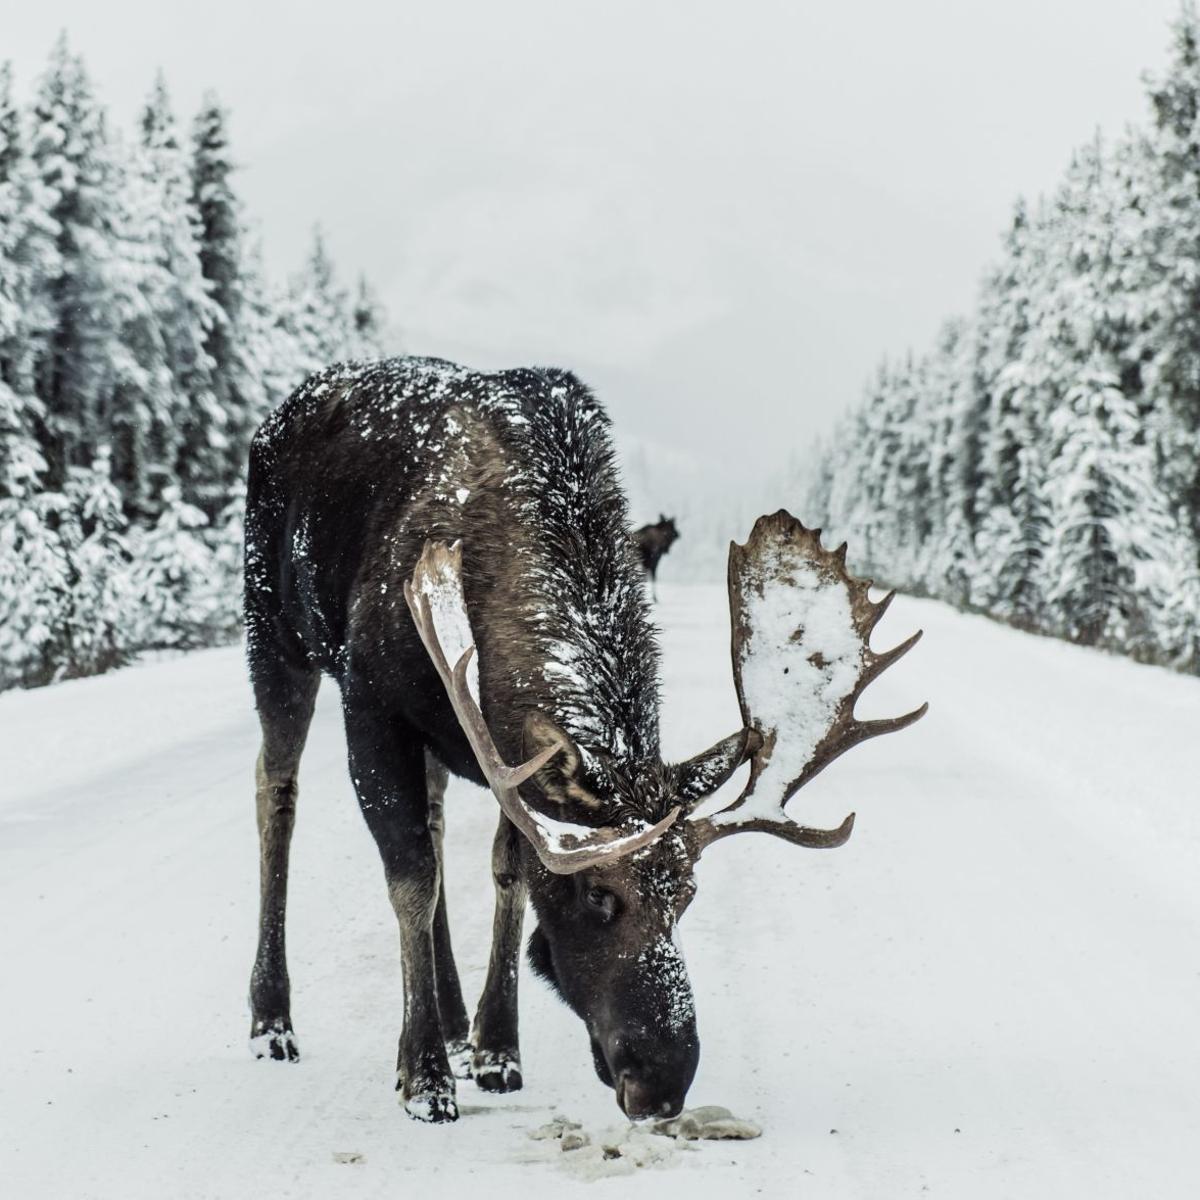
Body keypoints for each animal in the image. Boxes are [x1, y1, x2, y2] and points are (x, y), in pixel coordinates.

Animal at [243, 356, 926, 1124]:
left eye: (688, 894)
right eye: (600, 896)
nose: (662, 1082)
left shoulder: (499, 750)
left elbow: (507, 871)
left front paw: (496, 1047)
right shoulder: (371, 700)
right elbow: (411, 878)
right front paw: (422, 1077)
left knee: (436, 820)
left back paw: (452, 1019)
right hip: (273, 631)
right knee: (277, 790)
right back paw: (272, 1020)